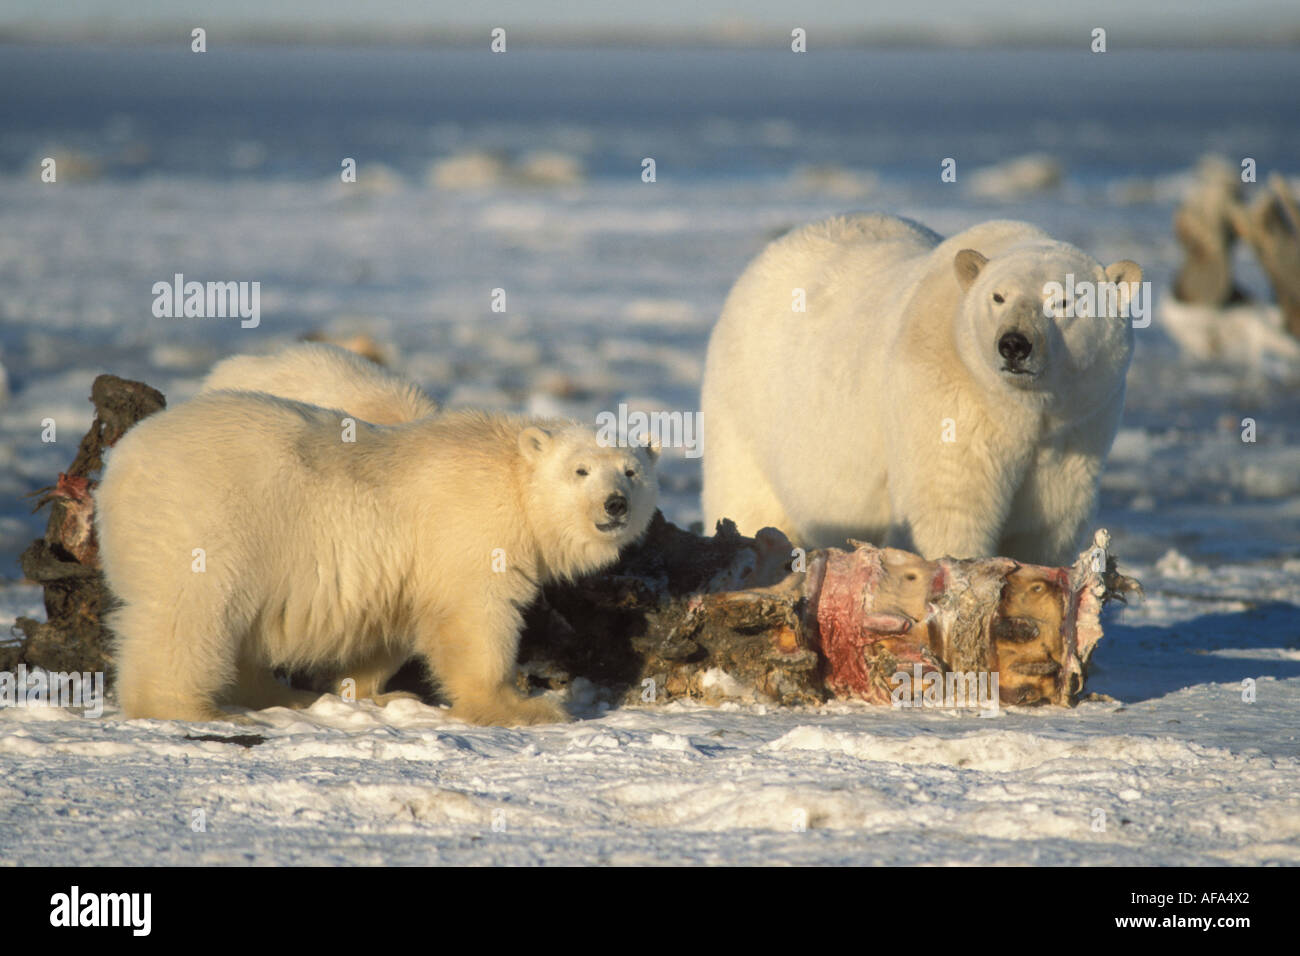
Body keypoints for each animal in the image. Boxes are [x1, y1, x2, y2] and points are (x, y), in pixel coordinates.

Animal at [95, 393, 659, 726]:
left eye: (631, 471)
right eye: (581, 470)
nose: (615, 504)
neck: (510, 479)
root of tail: (120, 463)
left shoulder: (404, 571)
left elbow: (394, 624)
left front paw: (369, 694)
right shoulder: (470, 529)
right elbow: (476, 616)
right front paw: (521, 707)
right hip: (208, 521)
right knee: (191, 613)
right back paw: (188, 708)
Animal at [700, 213, 1141, 567]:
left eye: (1063, 301)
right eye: (998, 297)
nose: (1014, 344)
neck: (1019, 411)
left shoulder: (1079, 425)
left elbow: (1046, 524)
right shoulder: (946, 394)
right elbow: (949, 507)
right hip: (745, 407)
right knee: (748, 499)